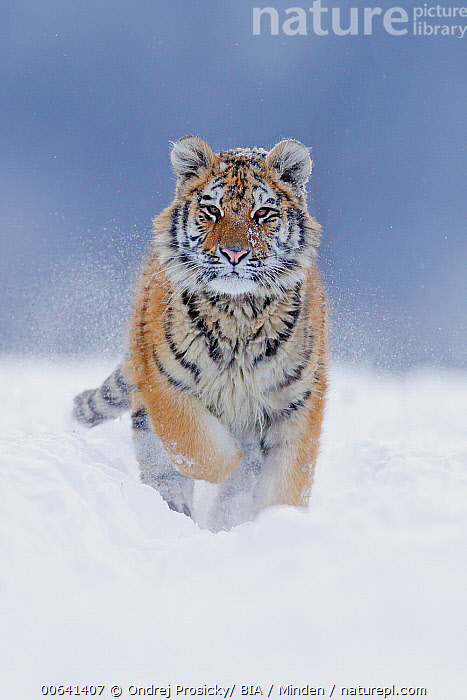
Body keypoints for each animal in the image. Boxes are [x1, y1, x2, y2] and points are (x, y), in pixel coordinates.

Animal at [73, 136, 327, 531]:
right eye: (212, 210)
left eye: (262, 213)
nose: (233, 253)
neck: (238, 313)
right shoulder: (165, 382)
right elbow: (201, 448)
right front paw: (235, 460)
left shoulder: (297, 399)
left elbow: (289, 477)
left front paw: (279, 522)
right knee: (163, 466)